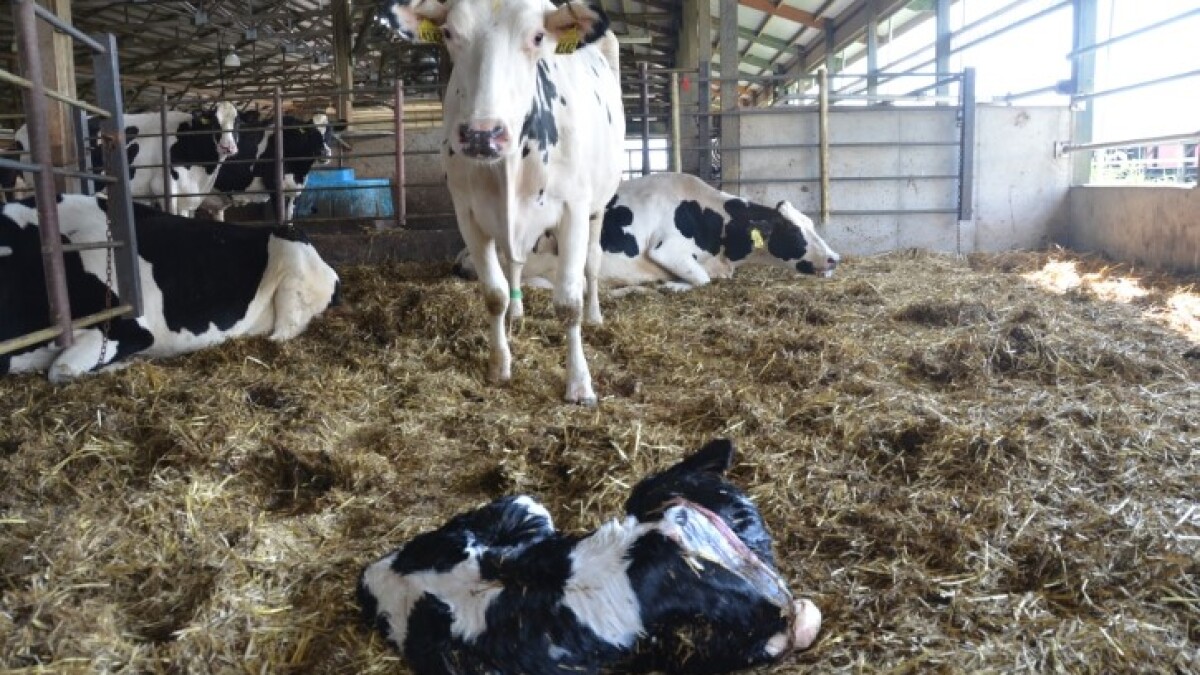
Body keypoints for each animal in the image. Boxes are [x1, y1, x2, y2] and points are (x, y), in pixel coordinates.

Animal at [203, 112, 347, 223]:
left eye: (330, 132)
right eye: (310, 133)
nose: (323, 152)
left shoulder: (295, 191)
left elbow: (289, 220)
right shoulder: (274, 186)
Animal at [388, 0, 626, 405]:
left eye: (538, 36)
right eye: (449, 33)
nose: (483, 134)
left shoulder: (574, 210)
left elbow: (568, 302)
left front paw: (579, 382)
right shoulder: (468, 214)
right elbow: (493, 293)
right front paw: (499, 365)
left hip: (599, 204)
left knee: (592, 263)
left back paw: (596, 315)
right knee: (515, 264)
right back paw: (517, 312)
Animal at [456, 172, 841, 293]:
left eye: (811, 224)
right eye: (795, 231)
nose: (835, 258)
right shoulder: (666, 249)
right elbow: (701, 280)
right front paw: (673, 285)